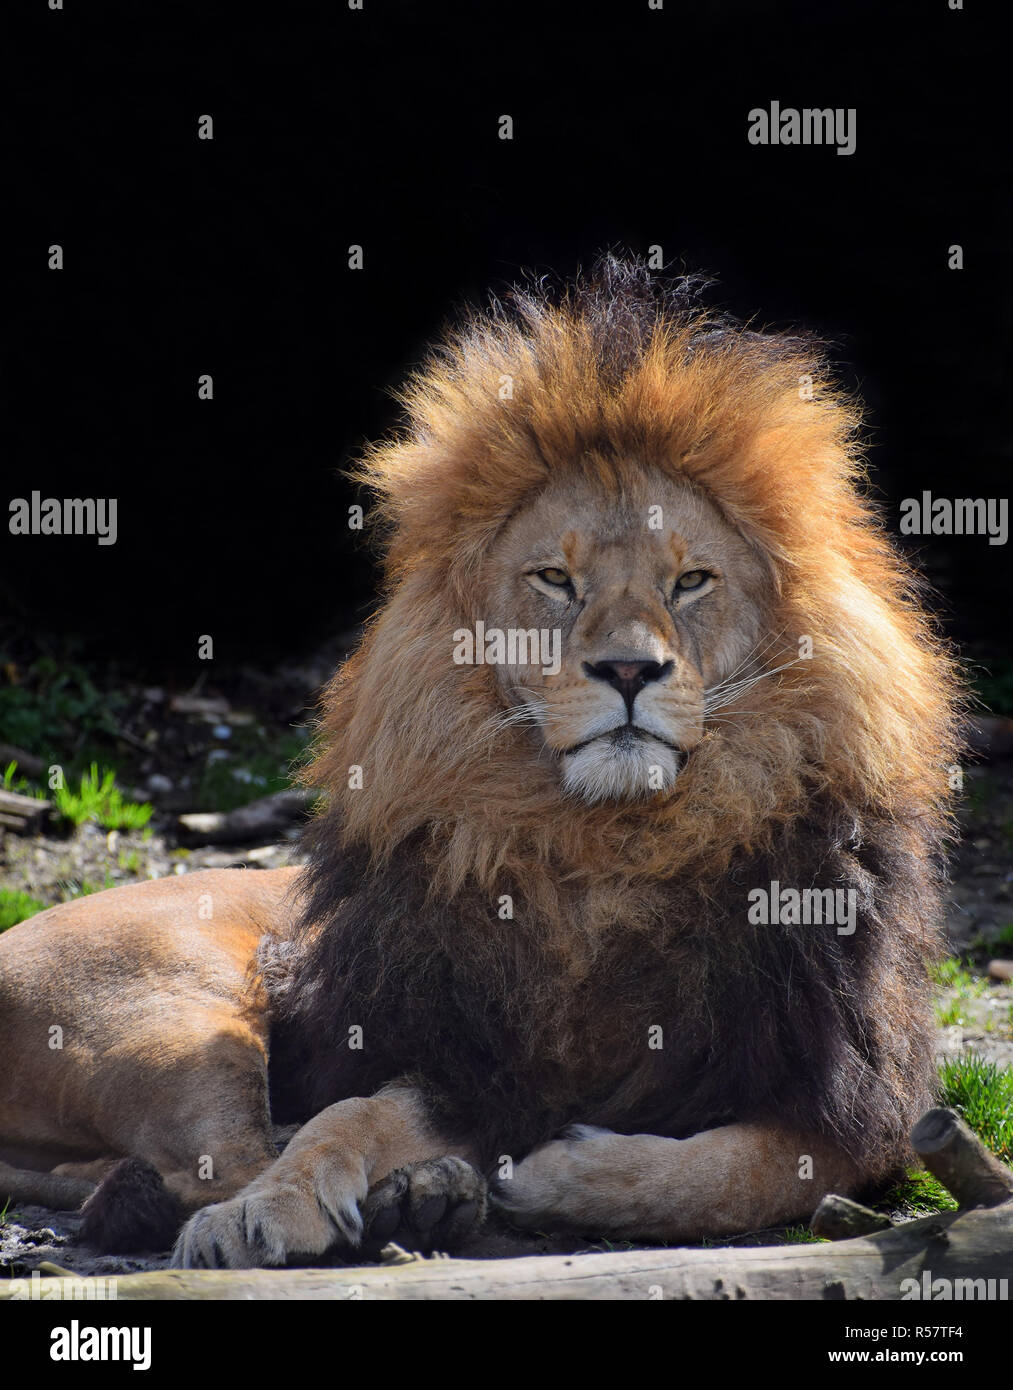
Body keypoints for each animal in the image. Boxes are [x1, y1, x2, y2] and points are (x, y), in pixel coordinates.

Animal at [0, 259, 960, 1268]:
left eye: (691, 581)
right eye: (555, 580)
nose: (627, 670)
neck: (615, 846)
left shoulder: (865, 1111)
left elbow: (729, 1173)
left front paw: (556, 1173)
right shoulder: (470, 1060)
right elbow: (346, 1116)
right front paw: (275, 1209)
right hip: (183, 1021)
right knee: (214, 1162)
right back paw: (402, 1202)